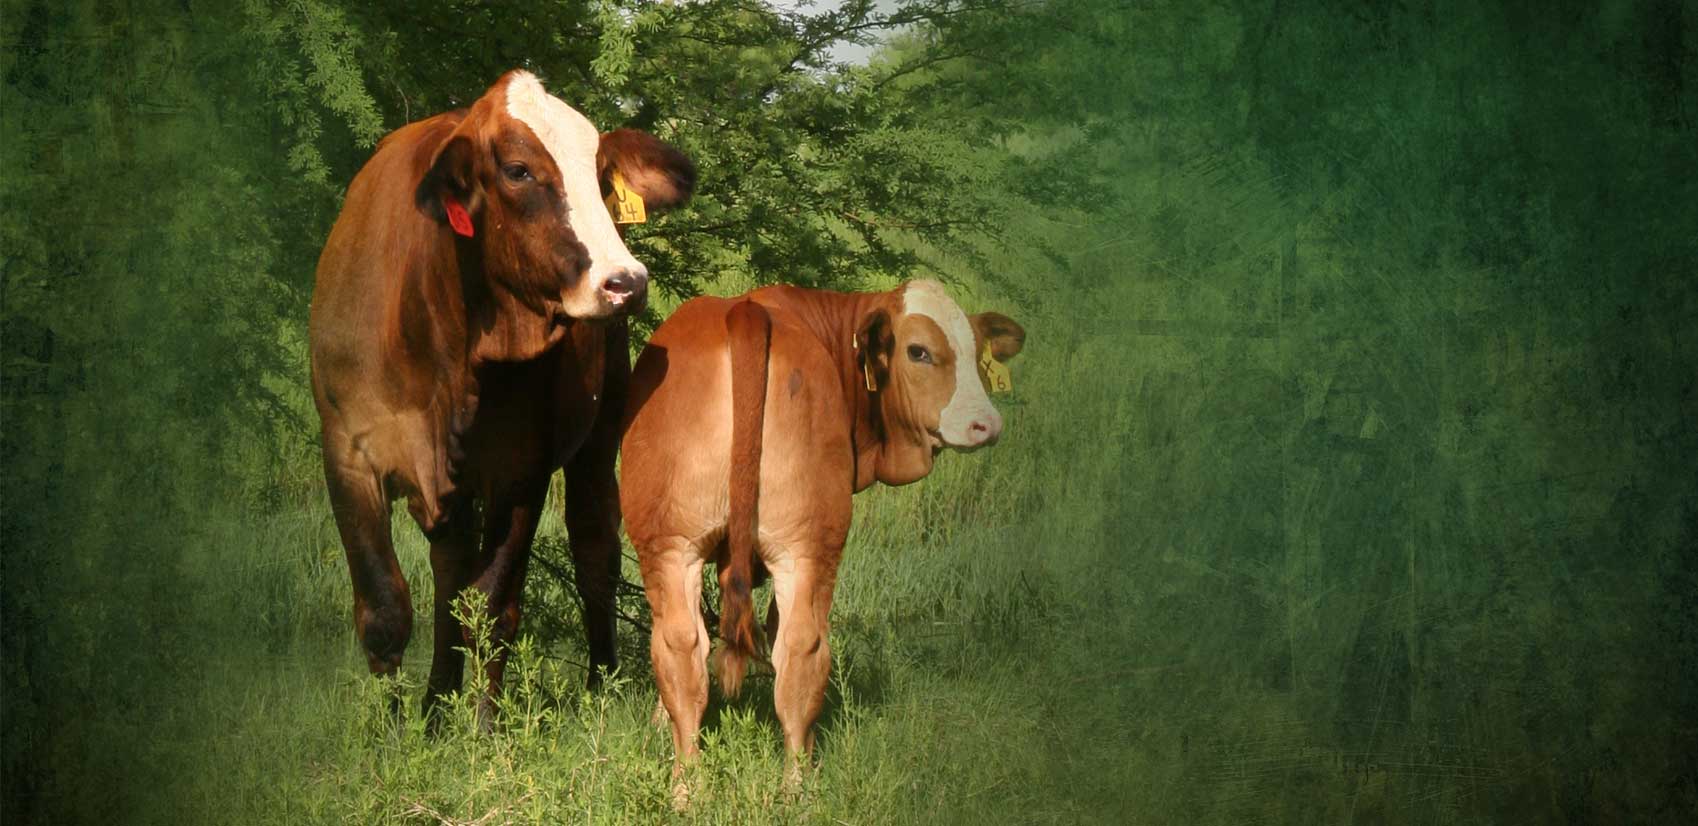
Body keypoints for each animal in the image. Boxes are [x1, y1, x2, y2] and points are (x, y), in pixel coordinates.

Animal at [309, 70, 695, 717]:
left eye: (600, 175)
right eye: (518, 170)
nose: (625, 282)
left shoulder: (522, 468)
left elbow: (493, 605)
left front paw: (486, 726)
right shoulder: (348, 450)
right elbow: (386, 610)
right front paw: (396, 725)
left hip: (597, 439)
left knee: (593, 550)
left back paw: (599, 686)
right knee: (449, 575)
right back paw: (436, 706)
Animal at [619, 280, 1025, 785]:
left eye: (976, 350)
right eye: (919, 351)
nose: (986, 424)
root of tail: (745, 313)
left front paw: (658, 725)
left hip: (686, 545)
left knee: (693, 648)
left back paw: (692, 785)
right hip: (795, 547)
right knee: (792, 651)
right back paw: (791, 785)